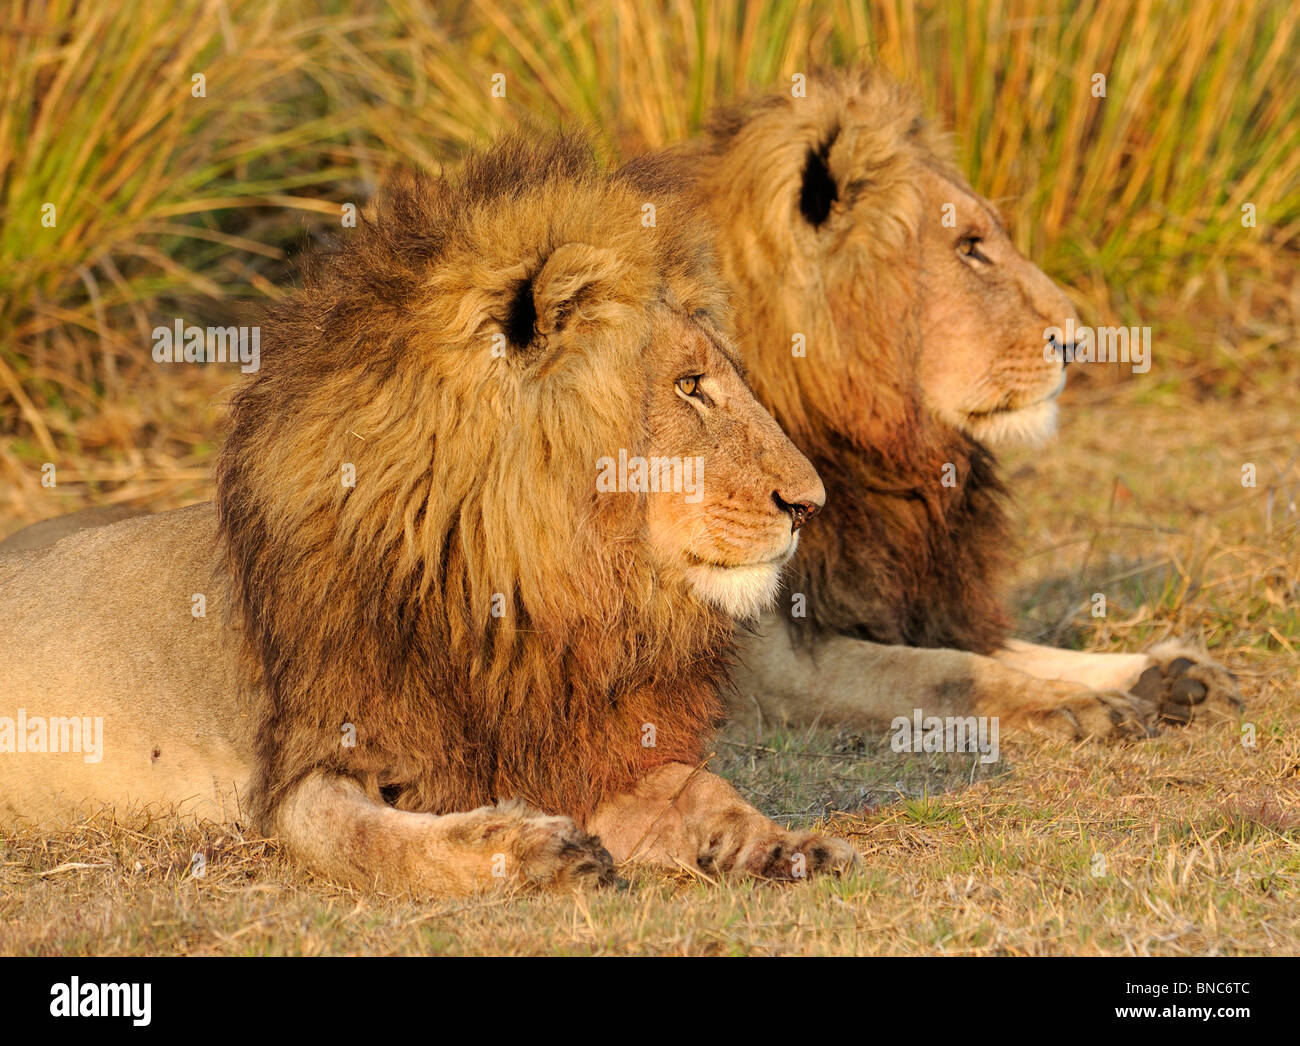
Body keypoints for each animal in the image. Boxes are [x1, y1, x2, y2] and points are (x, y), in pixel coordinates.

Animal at [0, 135, 858, 896]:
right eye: (689, 386)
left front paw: (786, 846)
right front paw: (533, 850)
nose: (810, 504)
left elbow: (700, 787)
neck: (517, 579)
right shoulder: (310, 770)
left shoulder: (572, 746)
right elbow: (378, 842)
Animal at [622, 68, 1243, 740]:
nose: (1076, 339)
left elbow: (1002, 647)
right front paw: (1077, 702)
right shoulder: (758, 669)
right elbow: (944, 670)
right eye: (970, 247)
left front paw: (1167, 671)